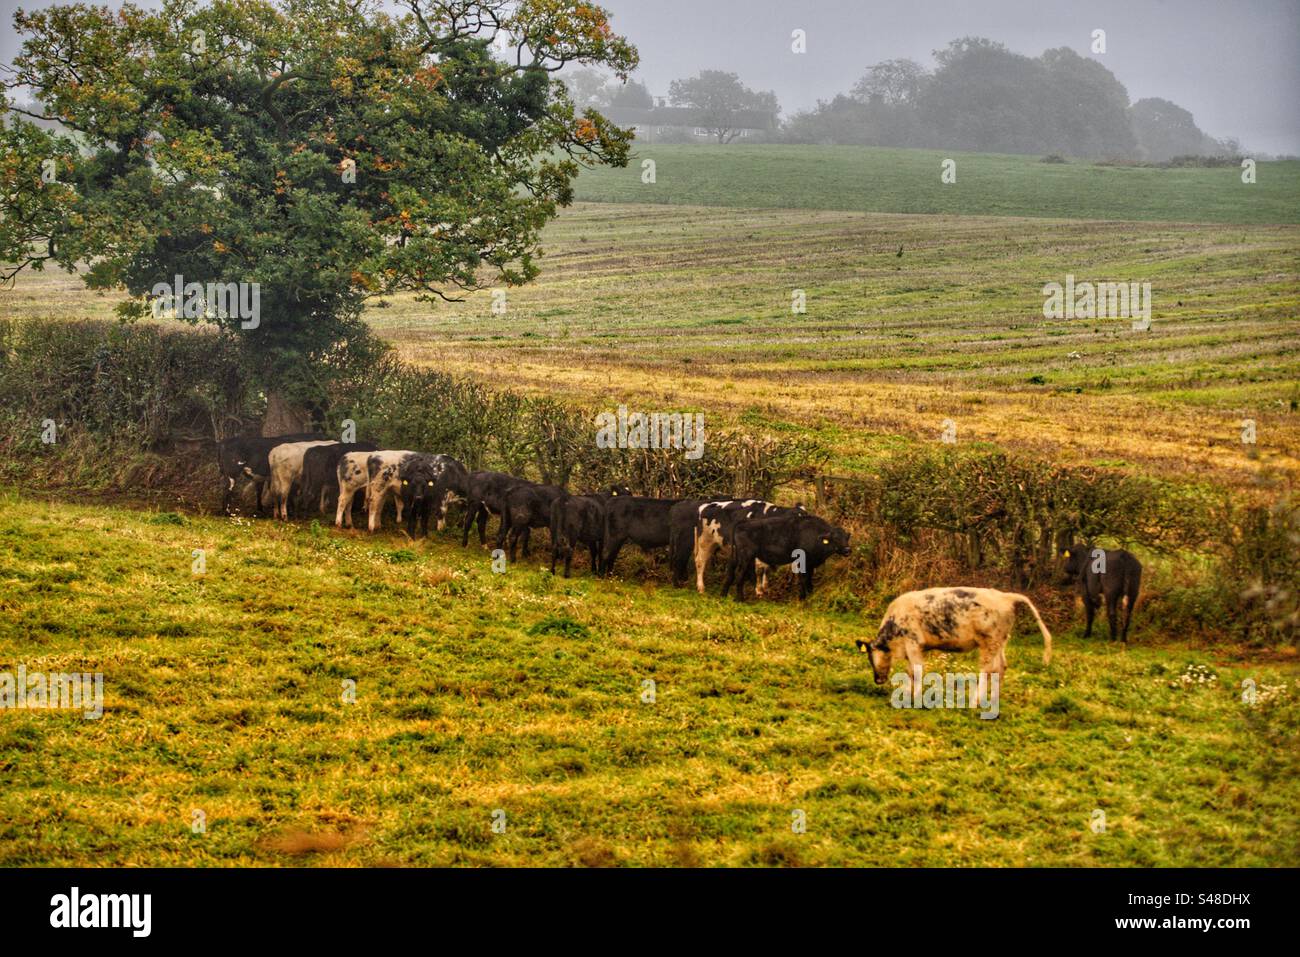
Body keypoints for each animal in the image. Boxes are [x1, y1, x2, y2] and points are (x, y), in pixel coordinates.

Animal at [722, 512, 850, 600]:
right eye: (836, 539)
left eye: (846, 538)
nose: (848, 550)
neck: (816, 535)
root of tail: (743, 522)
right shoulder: (802, 561)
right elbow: (803, 578)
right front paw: (802, 597)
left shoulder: (810, 564)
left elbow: (809, 578)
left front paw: (810, 594)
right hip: (746, 556)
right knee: (740, 574)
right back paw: (740, 599)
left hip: (737, 556)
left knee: (731, 573)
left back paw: (724, 595)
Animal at [858, 587, 1053, 707]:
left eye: (870, 657)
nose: (877, 680)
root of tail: (1006, 596)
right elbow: (910, 671)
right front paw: (907, 693)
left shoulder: (913, 642)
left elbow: (917, 671)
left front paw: (913, 697)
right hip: (1000, 641)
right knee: (1001, 666)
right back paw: (993, 699)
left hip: (989, 640)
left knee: (988, 669)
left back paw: (975, 702)